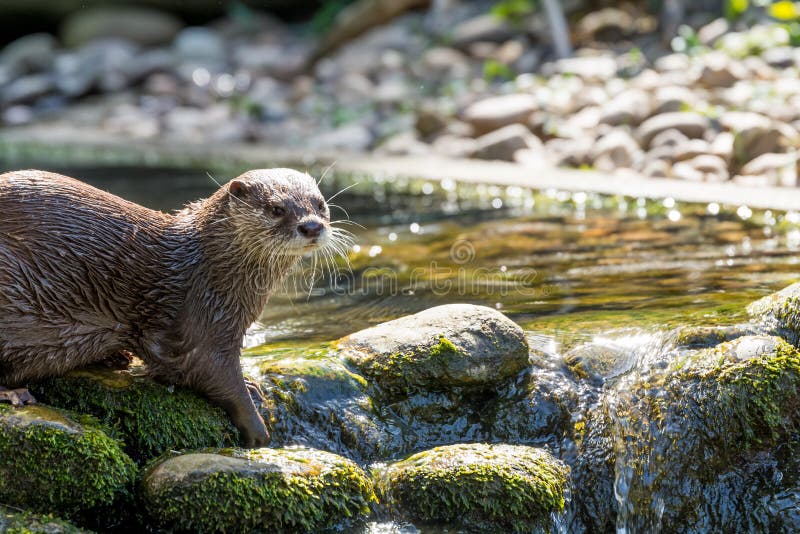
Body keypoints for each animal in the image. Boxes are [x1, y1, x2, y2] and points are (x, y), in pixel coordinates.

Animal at [0, 168, 337, 447]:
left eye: (320, 205)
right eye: (276, 209)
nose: (311, 226)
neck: (211, 265)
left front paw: (253, 386)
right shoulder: (204, 318)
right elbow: (216, 376)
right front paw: (258, 431)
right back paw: (15, 393)